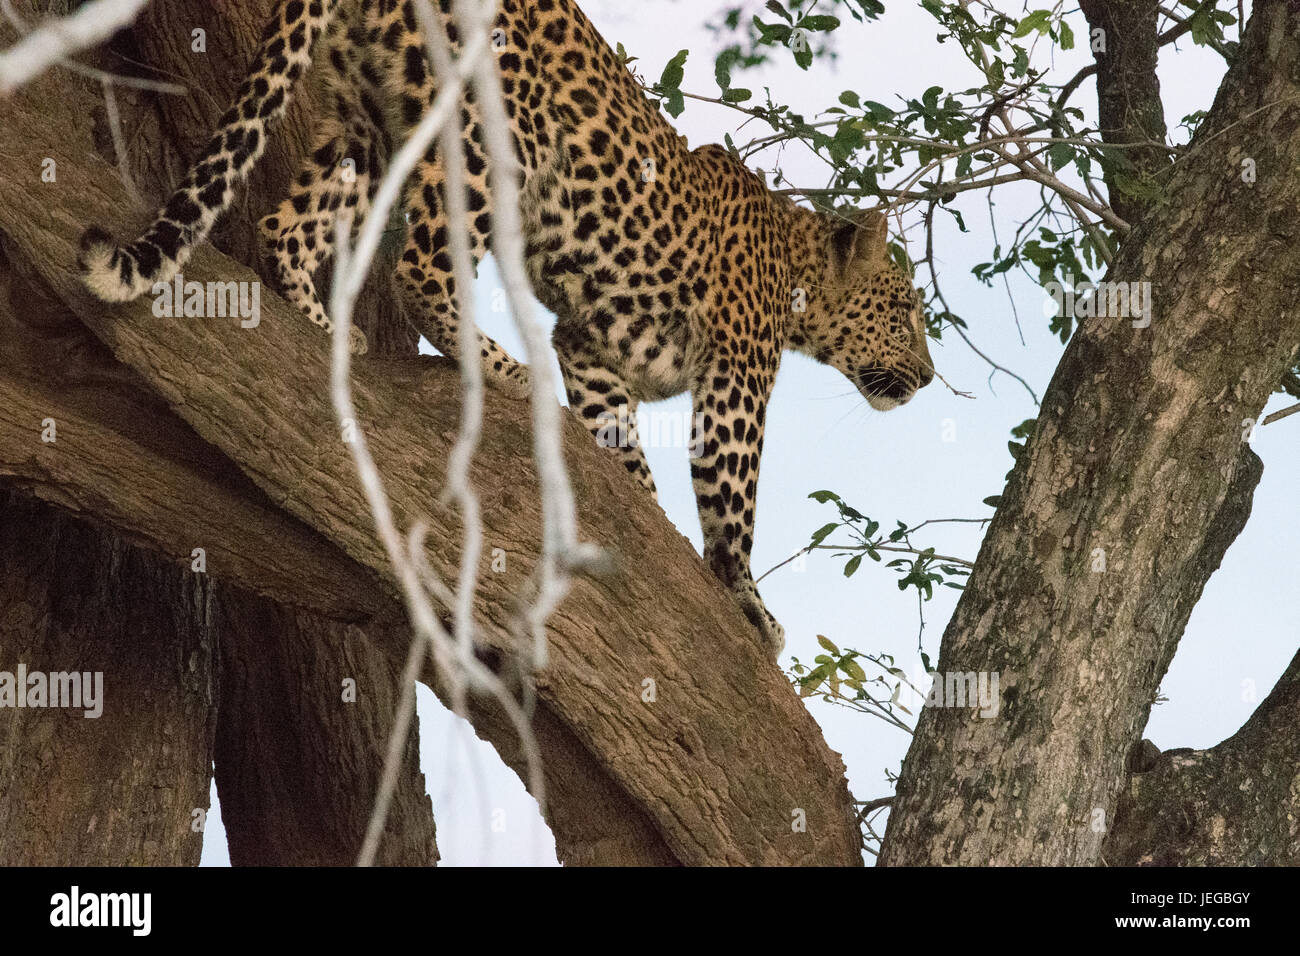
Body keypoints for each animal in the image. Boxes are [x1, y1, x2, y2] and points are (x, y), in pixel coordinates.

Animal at [77, 0, 935, 659]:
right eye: (906, 311)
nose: (930, 377)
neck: (797, 275)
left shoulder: (592, 346)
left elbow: (624, 444)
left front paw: (642, 508)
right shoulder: (736, 379)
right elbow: (734, 501)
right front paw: (750, 606)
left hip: (368, 123)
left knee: (285, 225)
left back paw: (326, 325)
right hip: (493, 136)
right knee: (418, 269)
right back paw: (500, 367)